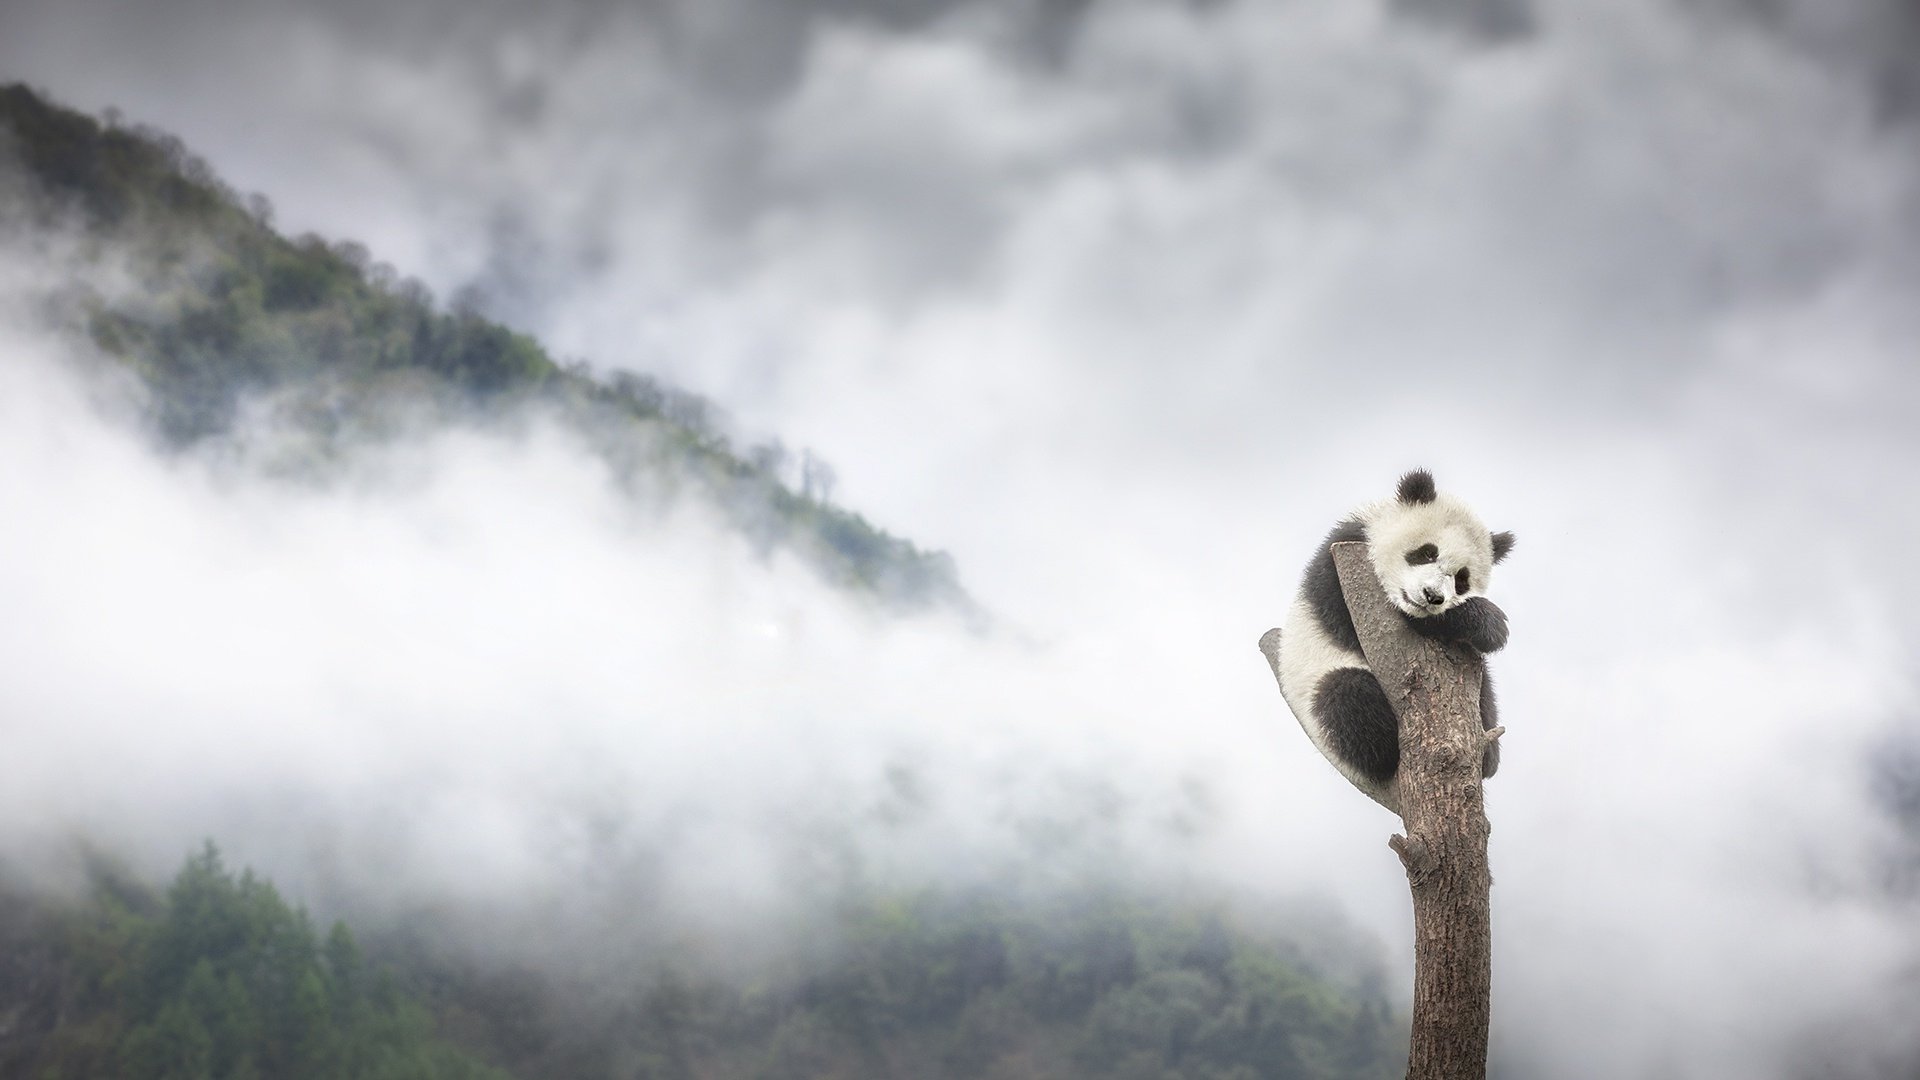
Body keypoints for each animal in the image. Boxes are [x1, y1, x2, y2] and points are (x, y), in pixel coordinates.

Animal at [1276, 469, 1514, 814]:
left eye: (1462, 579)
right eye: (1427, 552)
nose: (1432, 596)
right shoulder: (1338, 564)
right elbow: (1347, 623)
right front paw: (1486, 620)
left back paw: (1489, 755)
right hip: (1318, 695)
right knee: (1346, 696)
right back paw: (1387, 746)